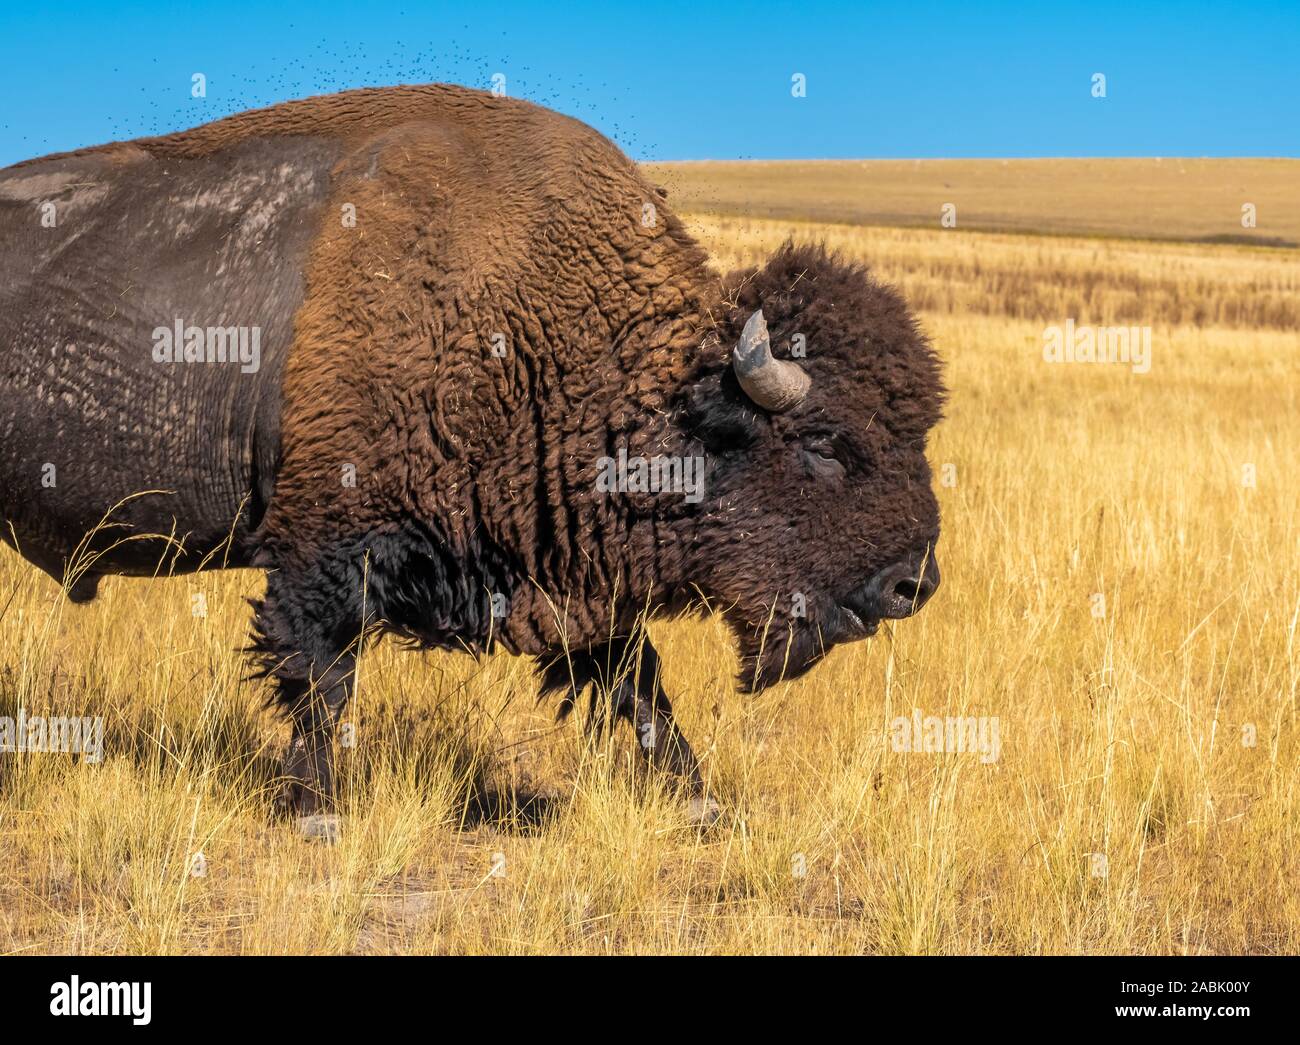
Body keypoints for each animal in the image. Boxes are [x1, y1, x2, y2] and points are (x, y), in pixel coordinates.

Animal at [0, 84, 944, 824]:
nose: (914, 583)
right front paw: (317, 811)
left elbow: (637, 681)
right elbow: (319, 675)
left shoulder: (581, 582)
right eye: (825, 446)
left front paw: (698, 802)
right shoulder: (324, 550)